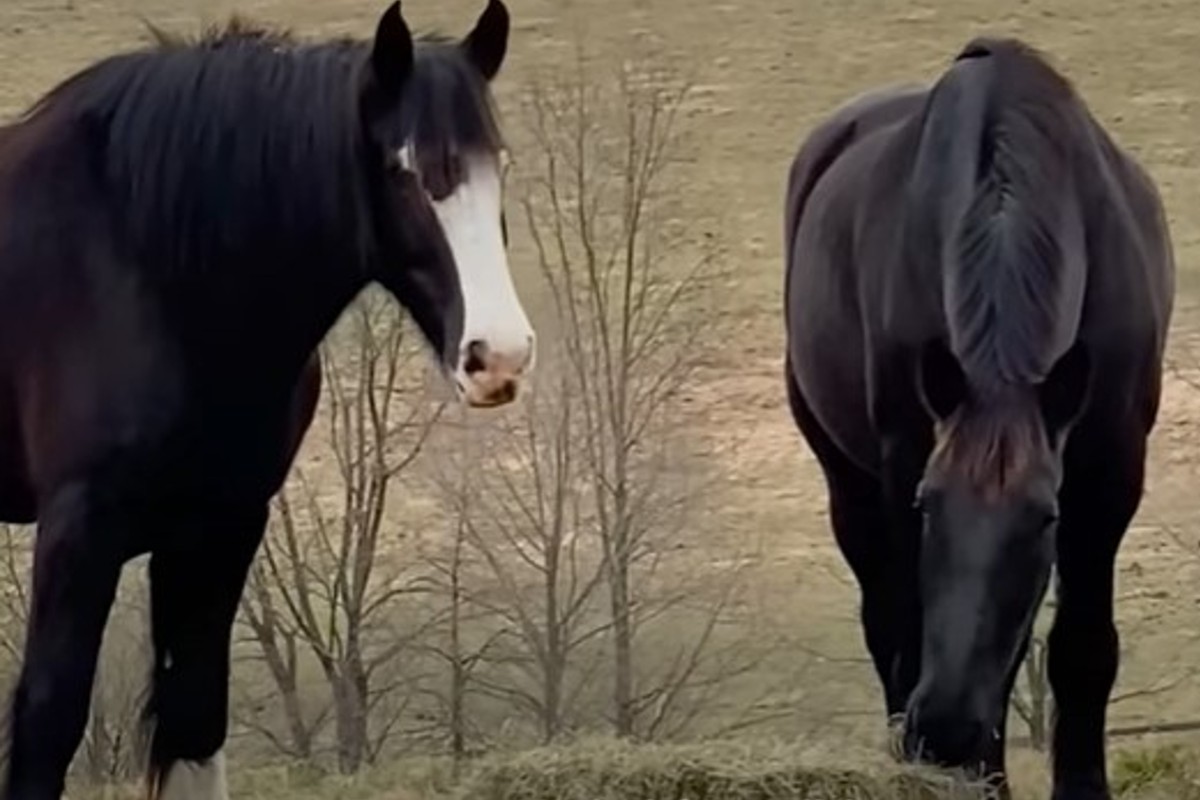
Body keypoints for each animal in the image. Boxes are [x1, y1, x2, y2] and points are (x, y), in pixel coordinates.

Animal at [0, 0, 534, 796]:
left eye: (495, 164)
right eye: (402, 168)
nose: (497, 355)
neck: (148, 258)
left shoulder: (219, 526)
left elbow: (194, 728)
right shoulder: (80, 527)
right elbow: (47, 724)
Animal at [783, 39, 1174, 799]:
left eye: (1046, 518)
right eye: (927, 505)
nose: (944, 729)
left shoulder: (1112, 472)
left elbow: (1081, 649)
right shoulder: (904, 461)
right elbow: (914, 636)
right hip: (846, 482)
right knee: (887, 629)